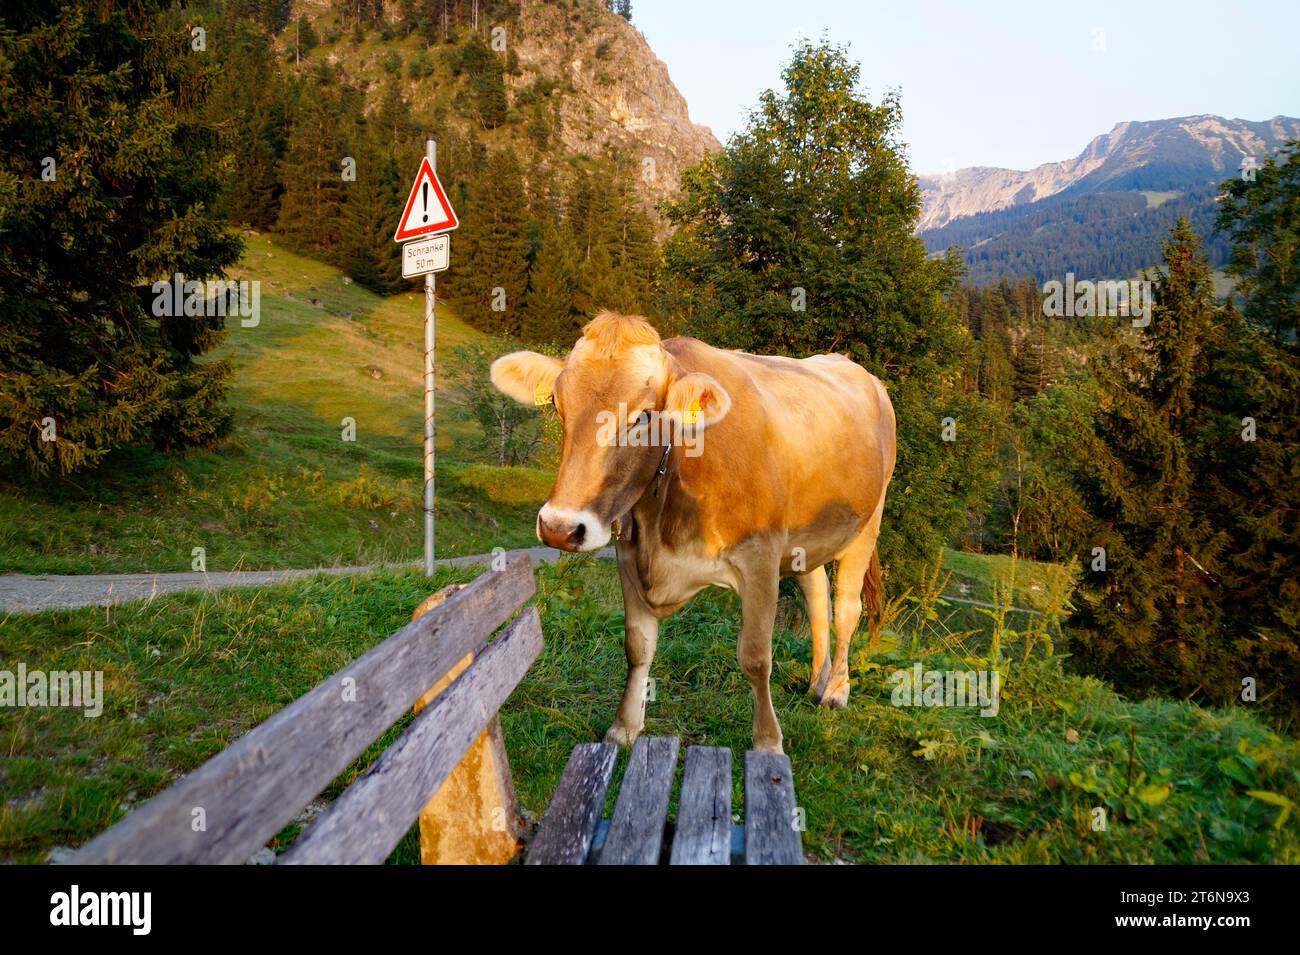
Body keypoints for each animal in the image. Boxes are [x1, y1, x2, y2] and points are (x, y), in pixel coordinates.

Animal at [490, 312, 896, 753]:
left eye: (643, 416)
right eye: (557, 405)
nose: (559, 528)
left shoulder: (760, 558)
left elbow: (756, 657)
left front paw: (768, 743)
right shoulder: (629, 553)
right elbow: (637, 647)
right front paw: (624, 728)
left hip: (868, 523)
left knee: (847, 607)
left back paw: (836, 691)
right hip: (806, 539)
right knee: (817, 596)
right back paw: (816, 683)